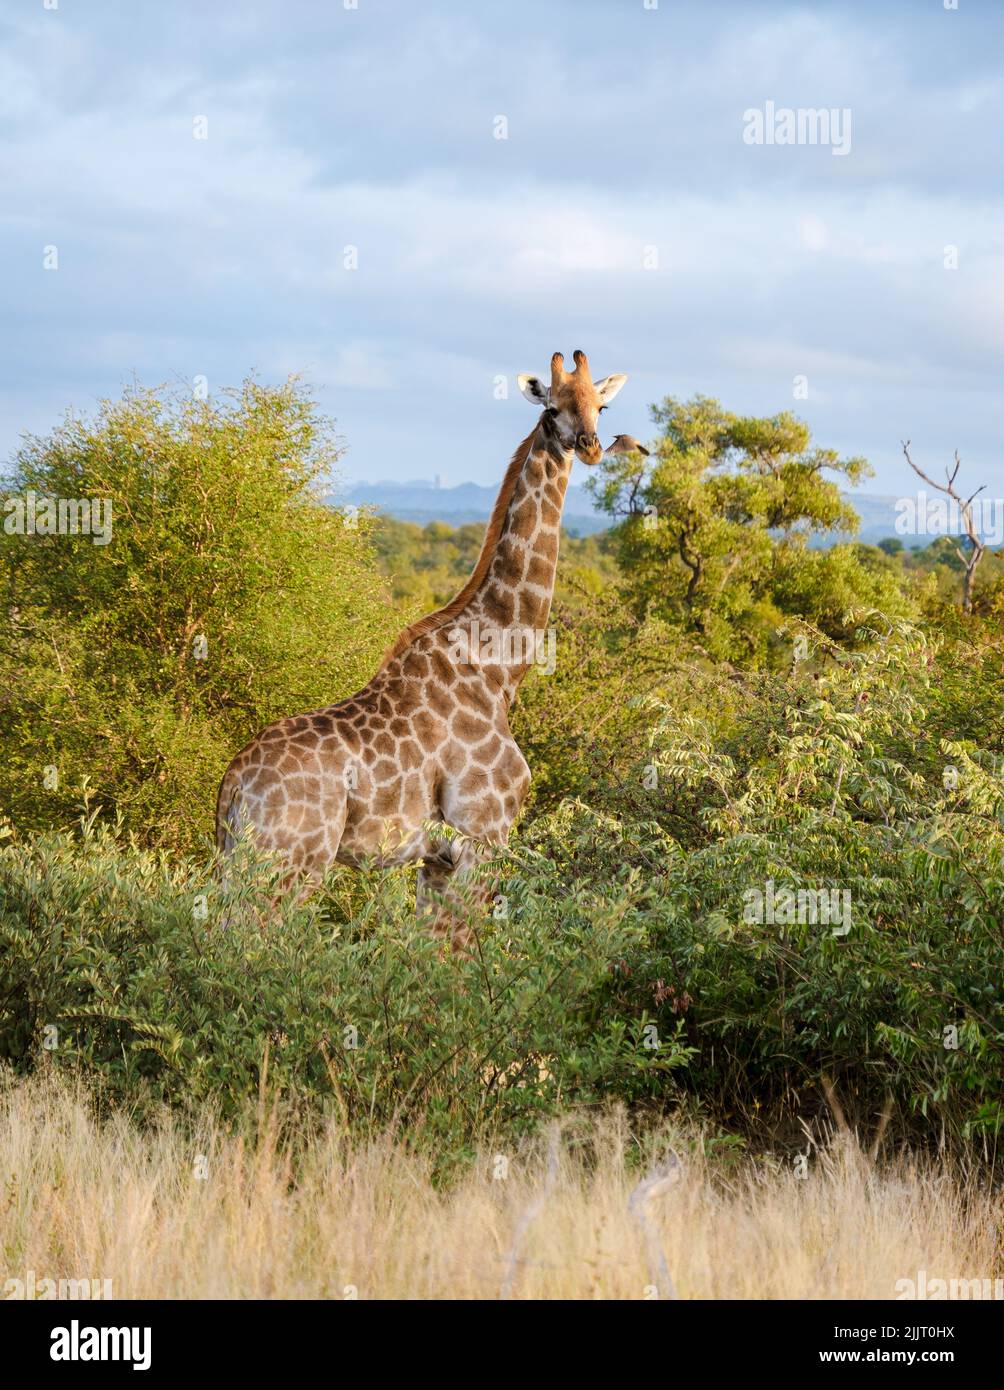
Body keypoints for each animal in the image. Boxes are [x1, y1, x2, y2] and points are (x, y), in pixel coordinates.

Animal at [215, 349, 636, 947]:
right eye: (552, 408)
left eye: (602, 406)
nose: (592, 445)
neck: (499, 667)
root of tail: (232, 784)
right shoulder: (482, 837)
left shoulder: (436, 858)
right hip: (291, 863)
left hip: (239, 864)